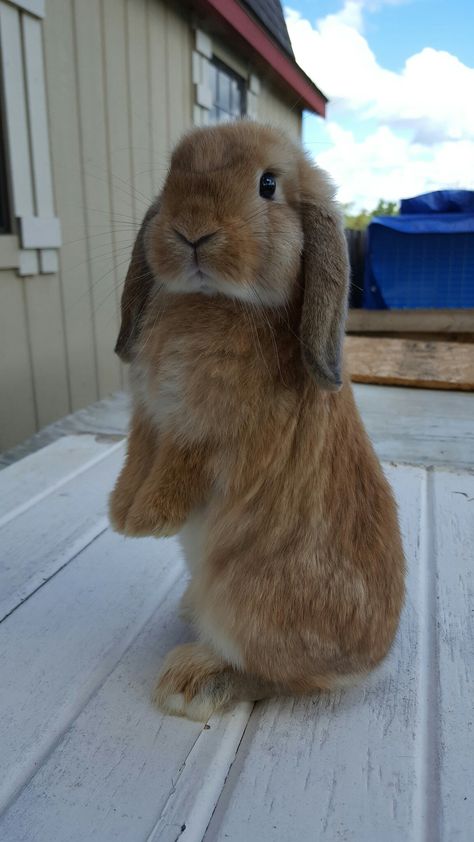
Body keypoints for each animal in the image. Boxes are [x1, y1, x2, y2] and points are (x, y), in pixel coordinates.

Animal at [109, 120, 406, 720]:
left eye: (268, 184)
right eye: (170, 178)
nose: (191, 232)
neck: (214, 302)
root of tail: (369, 663)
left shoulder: (205, 432)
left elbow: (179, 465)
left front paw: (148, 522)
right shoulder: (148, 416)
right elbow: (137, 457)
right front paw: (121, 514)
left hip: (245, 599)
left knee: (279, 678)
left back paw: (194, 680)